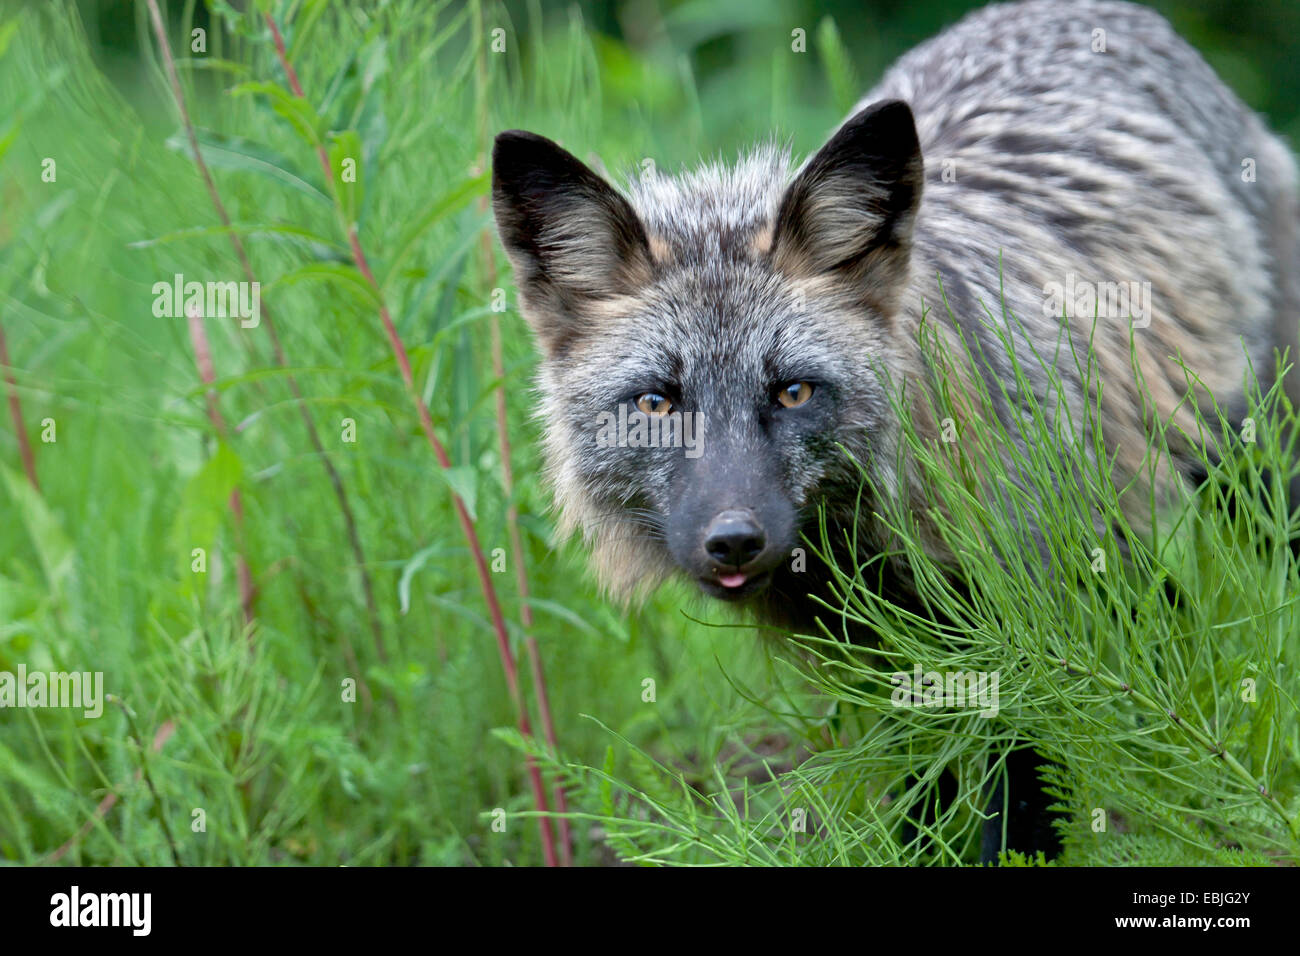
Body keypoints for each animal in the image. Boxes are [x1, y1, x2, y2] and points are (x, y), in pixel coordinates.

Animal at [492, 0, 1299, 859]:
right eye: (656, 403)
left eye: (793, 392)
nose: (732, 540)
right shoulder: (886, 650)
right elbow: (925, 790)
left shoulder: (1027, 621)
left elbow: (1021, 793)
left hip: (1244, 477)